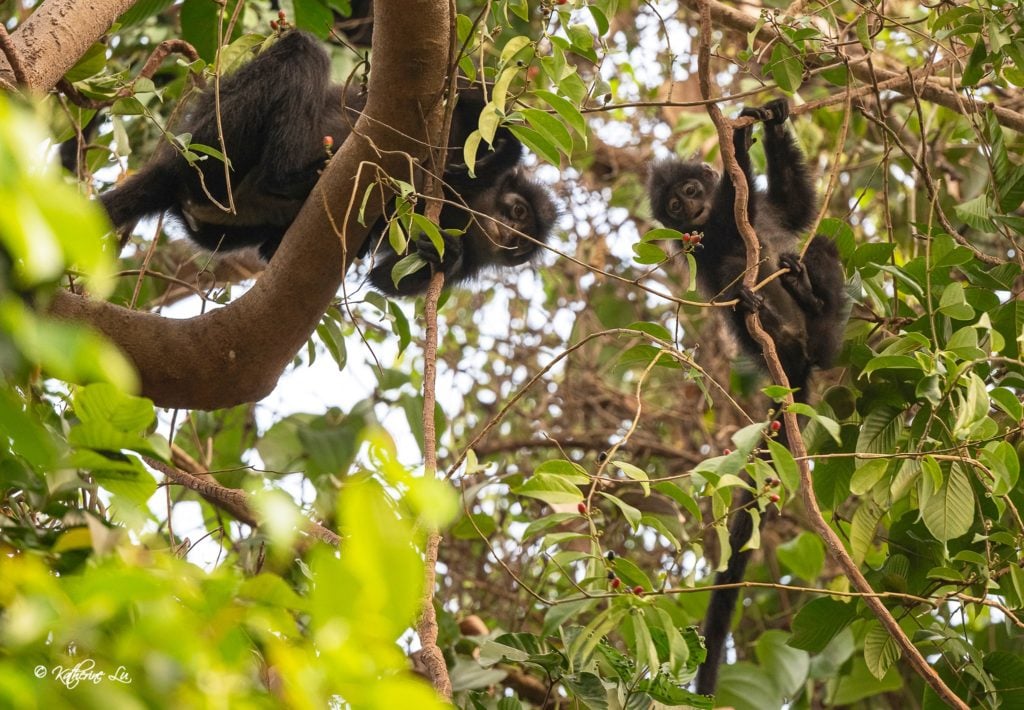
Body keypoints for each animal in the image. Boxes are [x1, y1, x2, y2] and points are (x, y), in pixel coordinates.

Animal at [97, 29, 556, 294]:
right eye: (517, 212)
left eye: (522, 244)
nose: (509, 236)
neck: (470, 203)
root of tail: (173, 168)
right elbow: (466, 93)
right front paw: (499, 155)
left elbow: (387, 279)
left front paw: (444, 253)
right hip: (213, 138)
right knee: (301, 50)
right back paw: (287, 177)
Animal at [647, 99, 846, 696]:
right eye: (674, 206)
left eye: (690, 189)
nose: (689, 206)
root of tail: (796, 369)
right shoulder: (702, 240)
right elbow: (722, 240)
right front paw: (737, 150)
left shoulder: (775, 210)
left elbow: (797, 210)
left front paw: (772, 122)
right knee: (738, 277)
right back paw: (774, 323)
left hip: (824, 328)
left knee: (819, 248)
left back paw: (812, 304)